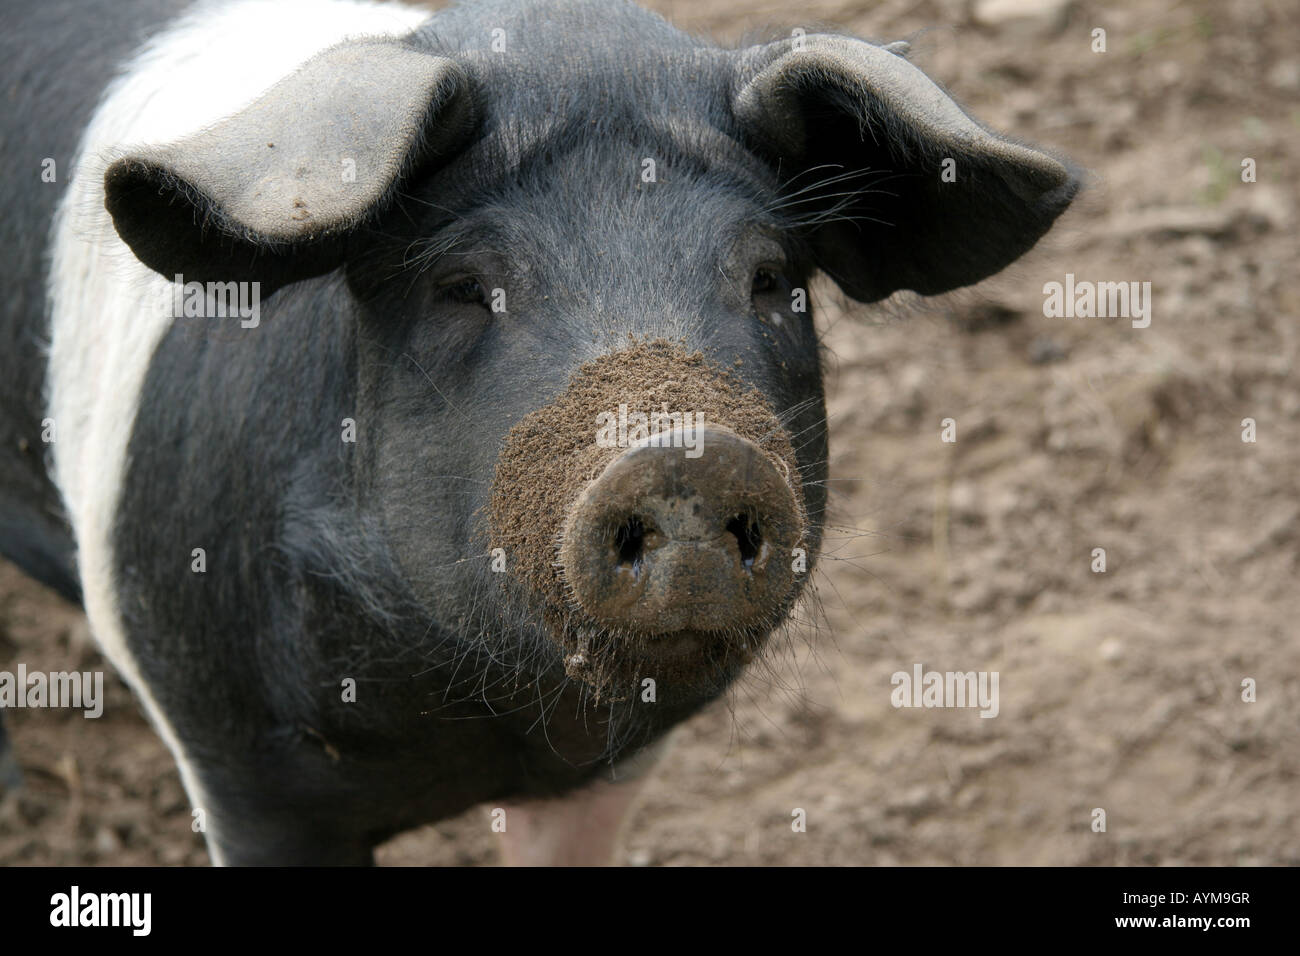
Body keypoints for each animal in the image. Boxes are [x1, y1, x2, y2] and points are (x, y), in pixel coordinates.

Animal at [0, 0, 1078, 864]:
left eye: (774, 278)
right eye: (465, 286)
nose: (681, 452)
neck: (491, 720)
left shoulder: (609, 767)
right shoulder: (233, 755)